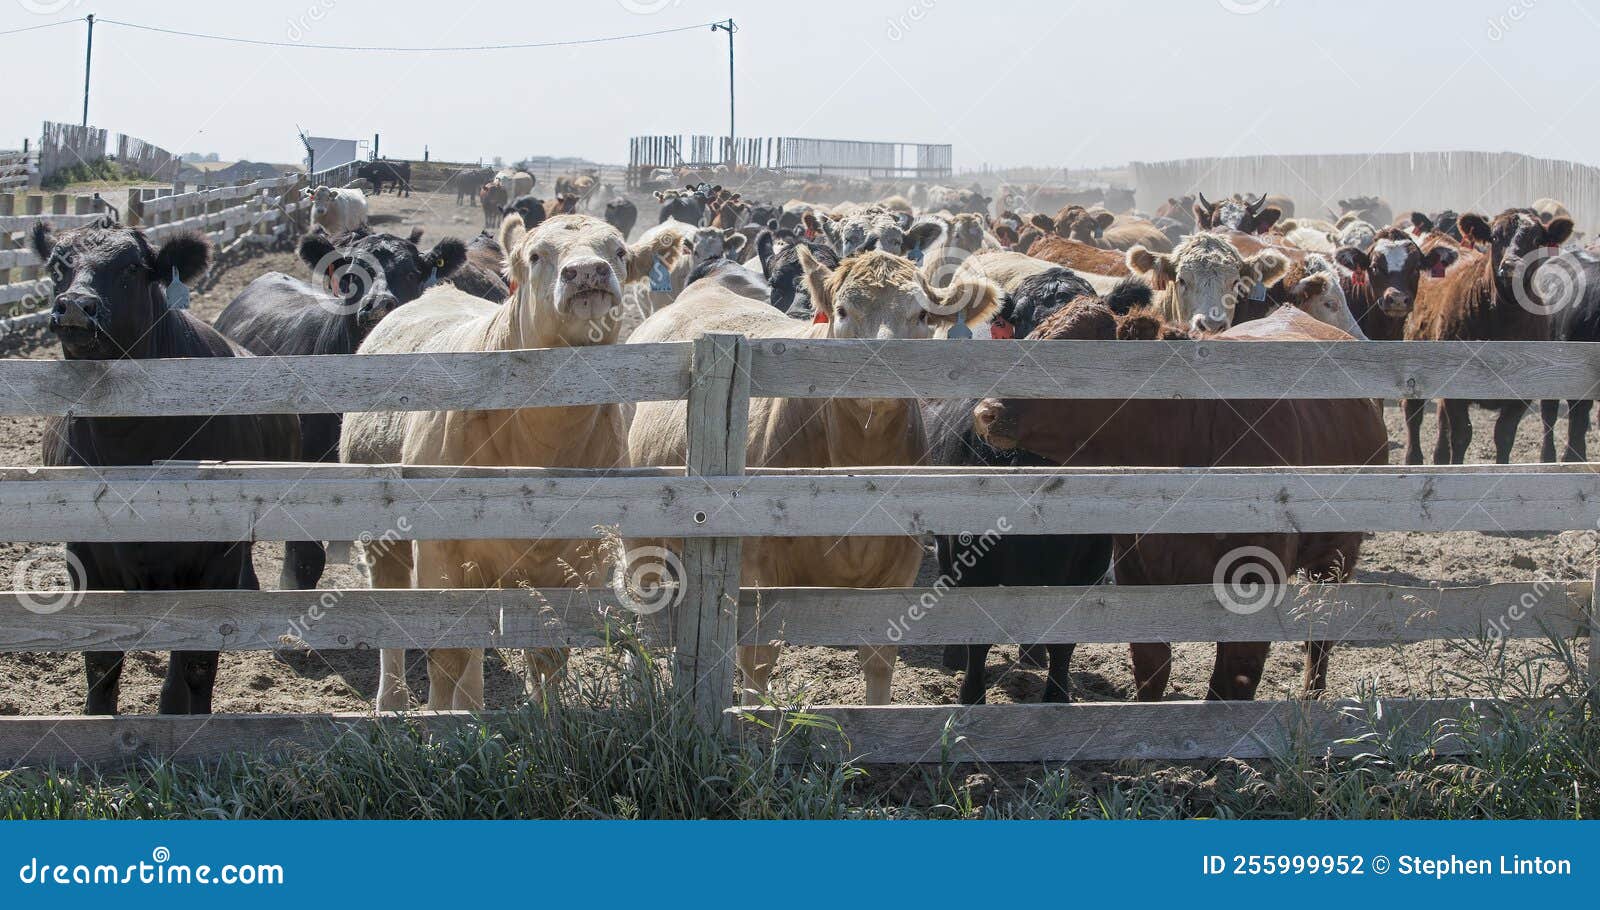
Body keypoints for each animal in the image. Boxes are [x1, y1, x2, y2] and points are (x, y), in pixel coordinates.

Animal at [31, 219, 300, 715]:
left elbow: (195, 657)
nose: (75, 305)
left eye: (133, 267)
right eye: (57, 267)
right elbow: (102, 659)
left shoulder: (213, 559)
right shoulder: (86, 555)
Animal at [340, 214, 672, 711]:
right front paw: (438, 719)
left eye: (617, 252)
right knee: (395, 616)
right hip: (385, 544)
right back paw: (394, 702)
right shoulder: (441, 555)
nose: (587, 272)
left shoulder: (578, 558)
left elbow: (547, 653)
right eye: (536, 255)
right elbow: (448, 653)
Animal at [626, 250, 1002, 705]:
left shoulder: (901, 564)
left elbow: (879, 660)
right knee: (646, 610)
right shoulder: (756, 571)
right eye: (842, 310)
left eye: (923, 315)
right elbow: (757, 662)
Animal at [972, 303, 1388, 701]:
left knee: (1321, 634)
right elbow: (1152, 667)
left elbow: (1233, 680)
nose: (985, 411)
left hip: (1338, 555)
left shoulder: (1257, 579)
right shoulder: (1136, 571)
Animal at [1405, 210, 1573, 464]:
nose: (1512, 265)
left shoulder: (1521, 393)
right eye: (1494, 237)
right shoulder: (1457, 388)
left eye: (1537, 240)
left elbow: (1504, 435)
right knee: (1413, 415)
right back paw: (1413, 459)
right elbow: (1462, 434)